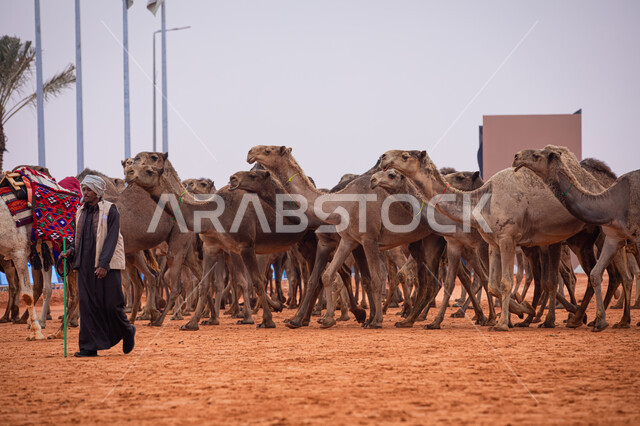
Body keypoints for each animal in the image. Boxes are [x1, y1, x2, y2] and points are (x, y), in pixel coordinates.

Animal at [379, 149, 602, 331]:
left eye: (405, 155)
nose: (382, 158)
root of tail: (595, 183)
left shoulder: (501, 240)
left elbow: (497, 281)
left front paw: (502, 321)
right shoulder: (477, 244)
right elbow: (482, 282)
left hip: (575, 238)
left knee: (571, 276)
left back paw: (573, 319)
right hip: (548, 244)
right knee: (554, 277)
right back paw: (562, 317)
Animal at [513, 146, 640, 329]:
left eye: (536, 155)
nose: (517, 157)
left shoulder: (552, 243)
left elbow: (549, 280)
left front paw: (547, 320)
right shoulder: (532, 247)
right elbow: (541, 280)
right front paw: (528, 317)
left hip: (601, 241)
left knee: (618, 275)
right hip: (587, 244)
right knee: (606, 275)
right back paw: (587, 318)